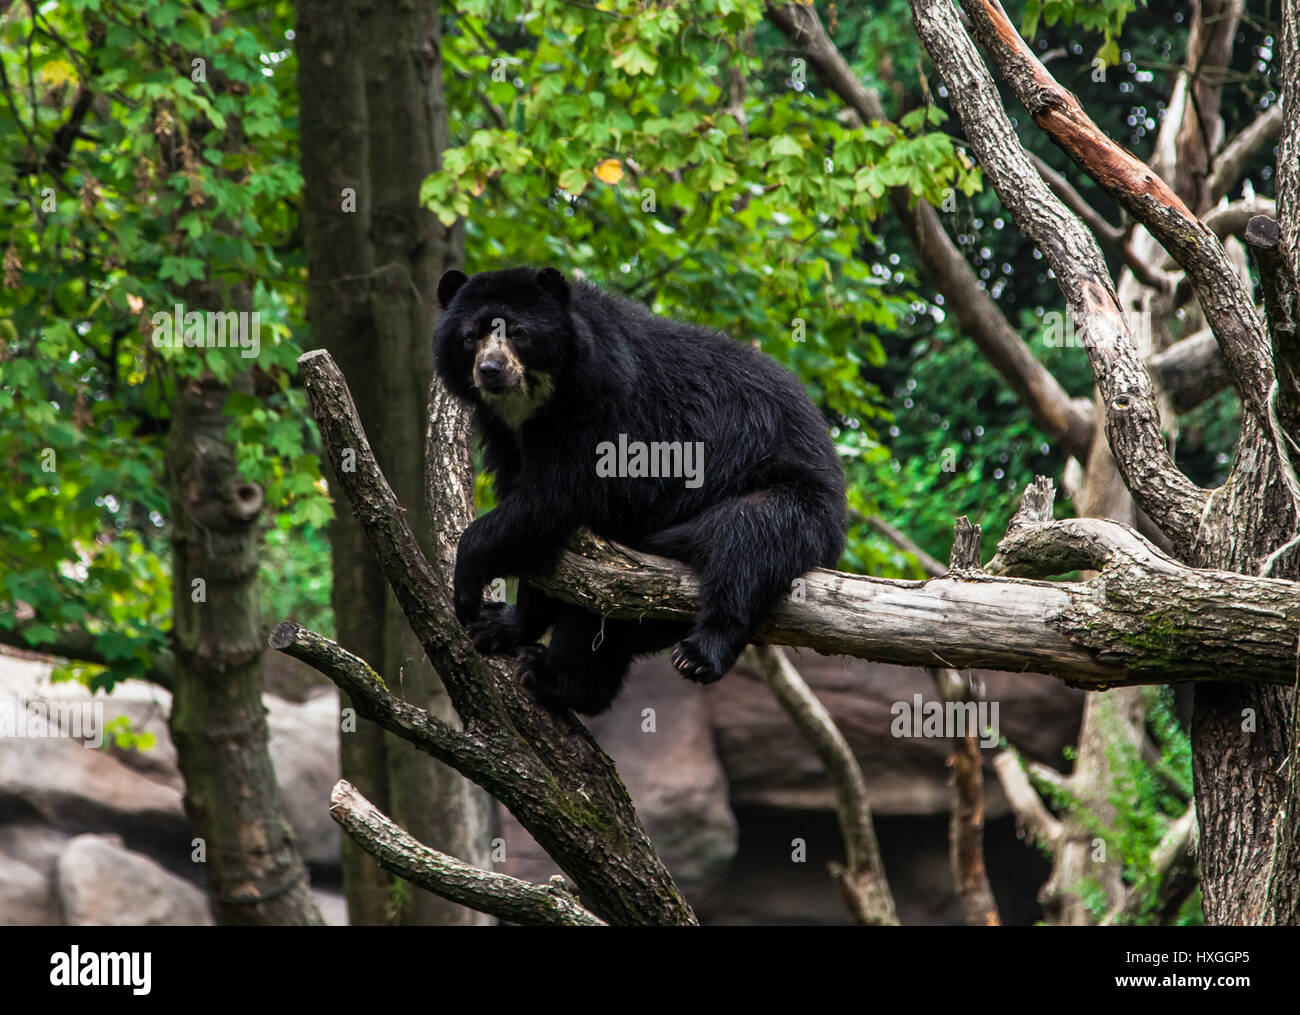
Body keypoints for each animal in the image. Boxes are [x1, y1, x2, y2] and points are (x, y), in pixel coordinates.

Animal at [433, 265, 846, 715]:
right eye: (470, 337)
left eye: (520, 333)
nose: (491, 369)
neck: (538, 405)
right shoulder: (506, 437)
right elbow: (539, 542)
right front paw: (499, 622)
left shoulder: (608, 416)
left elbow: (556, 501)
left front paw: (466, 586)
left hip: (792, 496)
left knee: (748, 541)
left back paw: (682, 657)